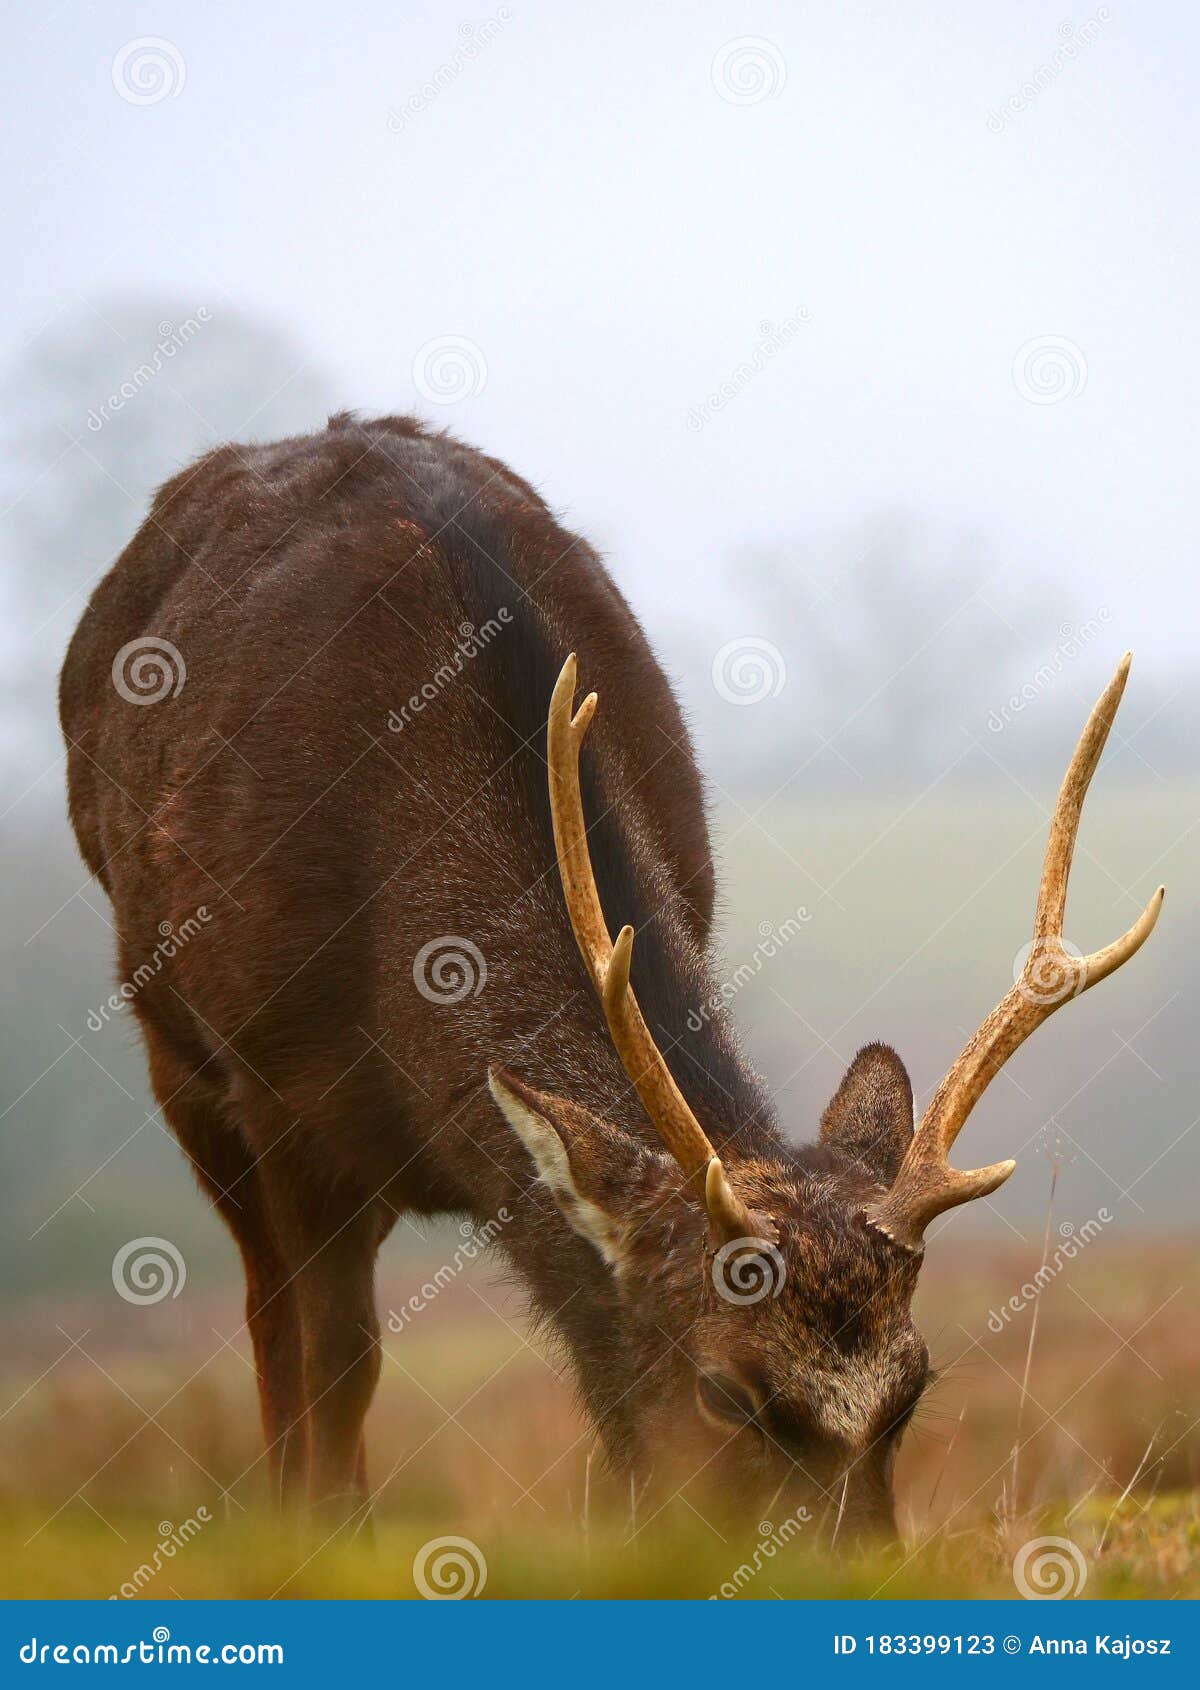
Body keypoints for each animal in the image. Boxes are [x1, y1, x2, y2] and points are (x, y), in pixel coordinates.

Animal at [59, 413, 1163, 1545]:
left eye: (915, 1389)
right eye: (728, 1395)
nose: (850, 1564)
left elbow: (603, 1396)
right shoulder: (278, 1091)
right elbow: (334, 1361)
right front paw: (317, 1538)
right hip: (183, 1062)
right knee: (273, 1321)